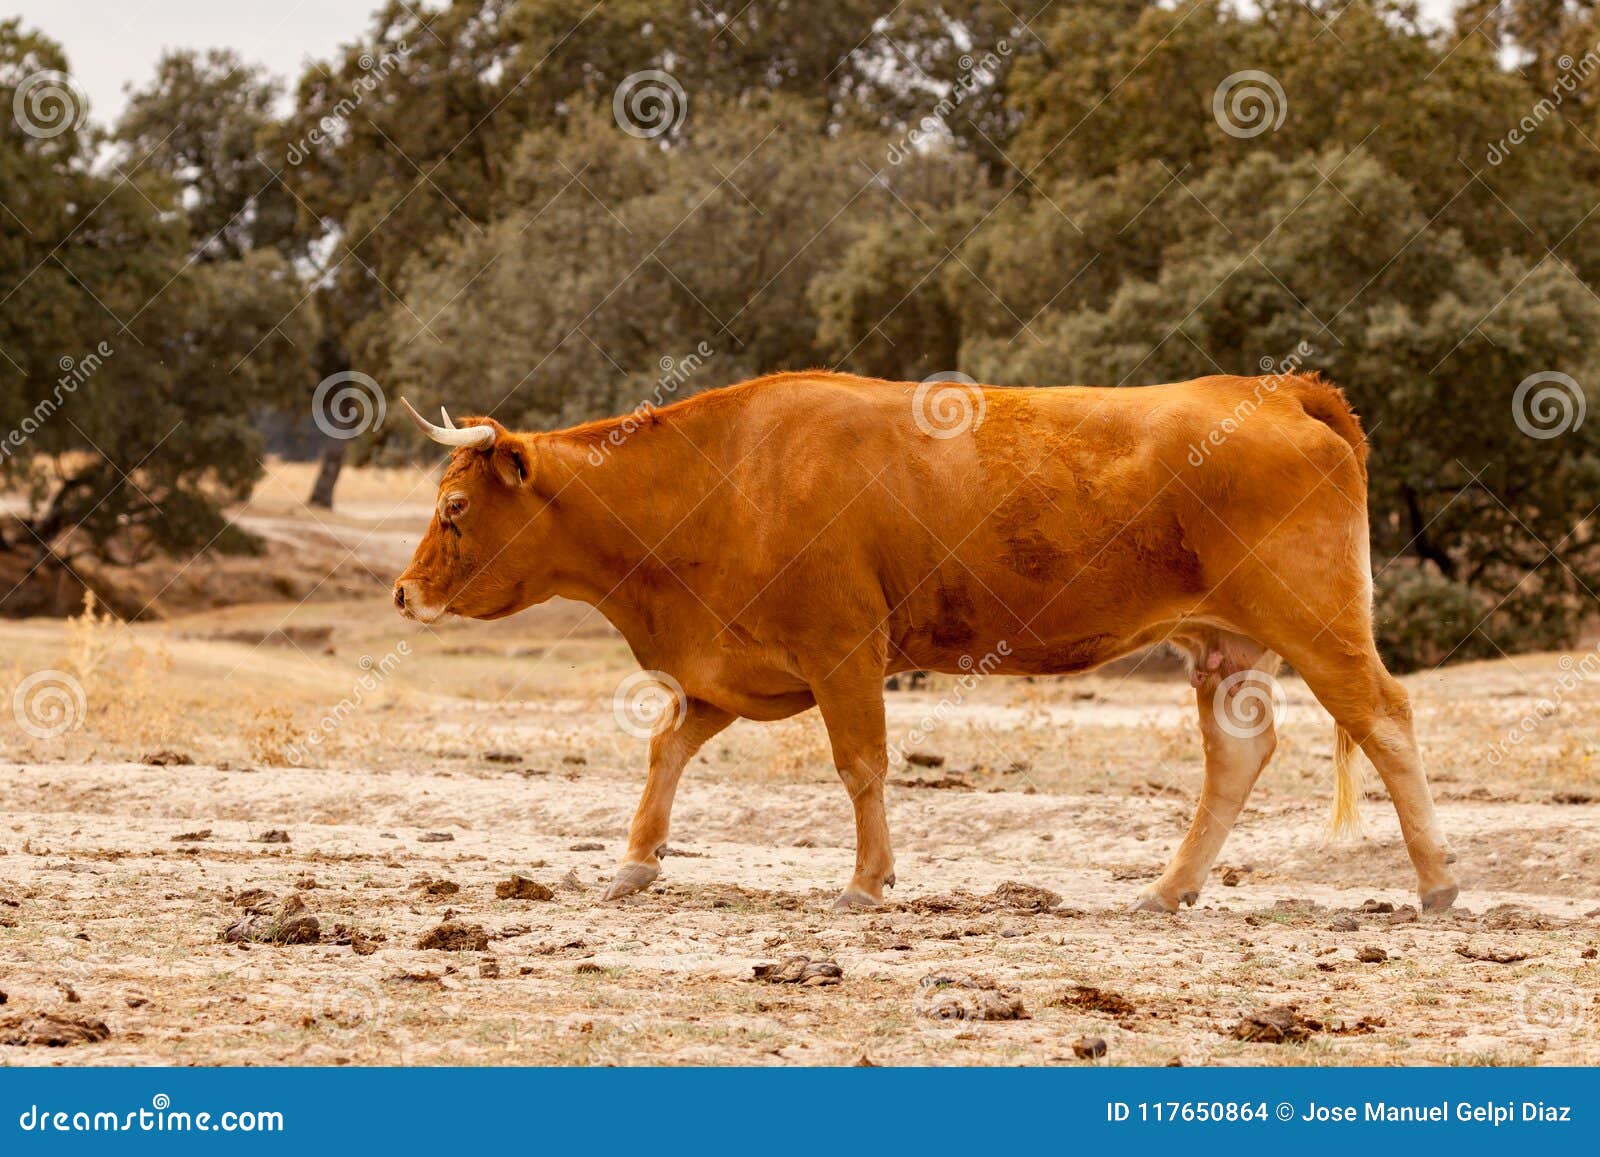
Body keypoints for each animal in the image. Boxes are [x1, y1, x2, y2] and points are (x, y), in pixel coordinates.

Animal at [392, 371, 1458, 914]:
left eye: (455, 509)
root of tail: (1272, 389)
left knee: (1386, 718)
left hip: (1316, 624)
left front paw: (868, 879)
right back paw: (1167, 888)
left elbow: (861, 763)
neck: (724, 473)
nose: (404, 592)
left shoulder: (841, 650)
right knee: (1239, 755)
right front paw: (637, 860)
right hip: (1229, 647)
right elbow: (667, 744)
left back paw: (1438, 881)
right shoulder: (736, 665)